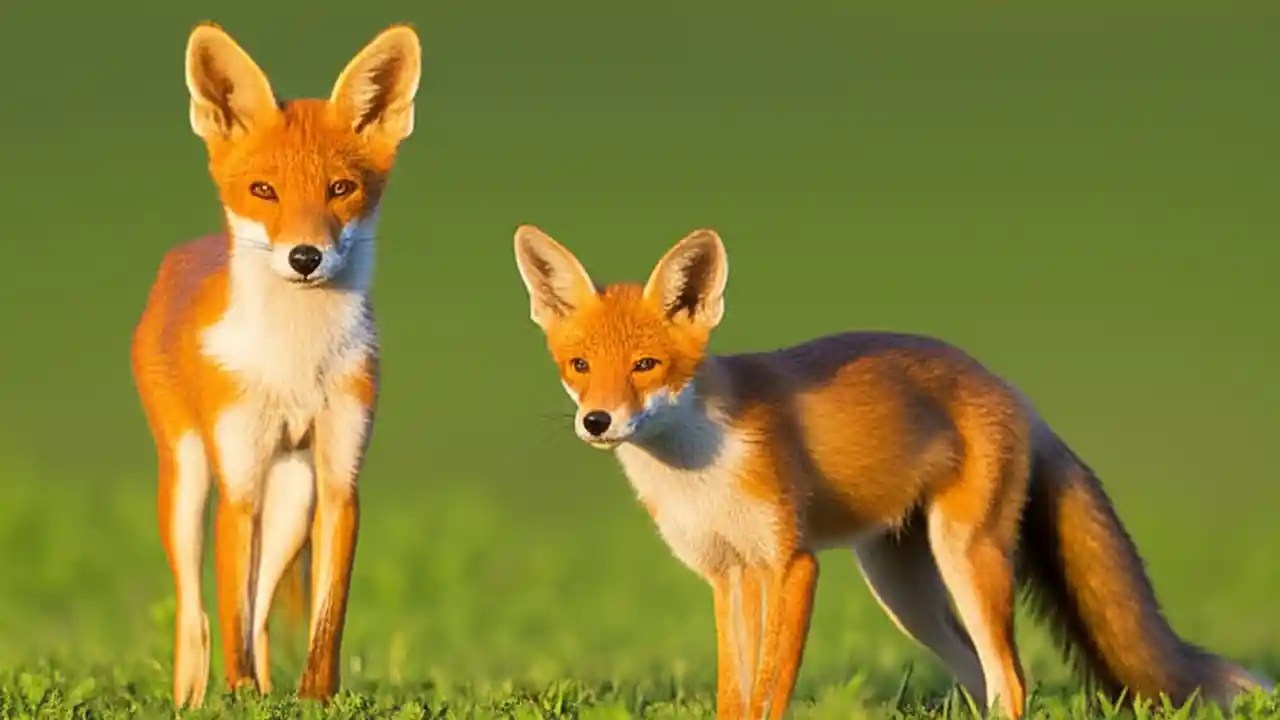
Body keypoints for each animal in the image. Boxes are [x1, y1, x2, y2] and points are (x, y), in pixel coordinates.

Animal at [129, 22, 421, 707]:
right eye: (264, 191)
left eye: (341, 189)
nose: (305, 257)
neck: (296, 362)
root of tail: (187, 252)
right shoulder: (237, 485)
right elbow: (228, 612)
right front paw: (236, 696)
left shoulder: (340, 479)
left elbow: (325, 616)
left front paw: (315, 698)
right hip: (188, 481)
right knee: (195, 615)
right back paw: (195, 698)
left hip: (292, 494)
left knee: (263, 612)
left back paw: (266, 688)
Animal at [512, 224, 1273, 719]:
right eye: (580, 365)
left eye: (646, 365)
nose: (598, 421)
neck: (698, 468)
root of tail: (1009, 388)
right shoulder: (728, 575)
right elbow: (736, 693)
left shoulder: (791, 565)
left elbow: (771, 689)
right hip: (902, 589)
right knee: (981, 679)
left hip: (966, 557)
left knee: (1012, 681)